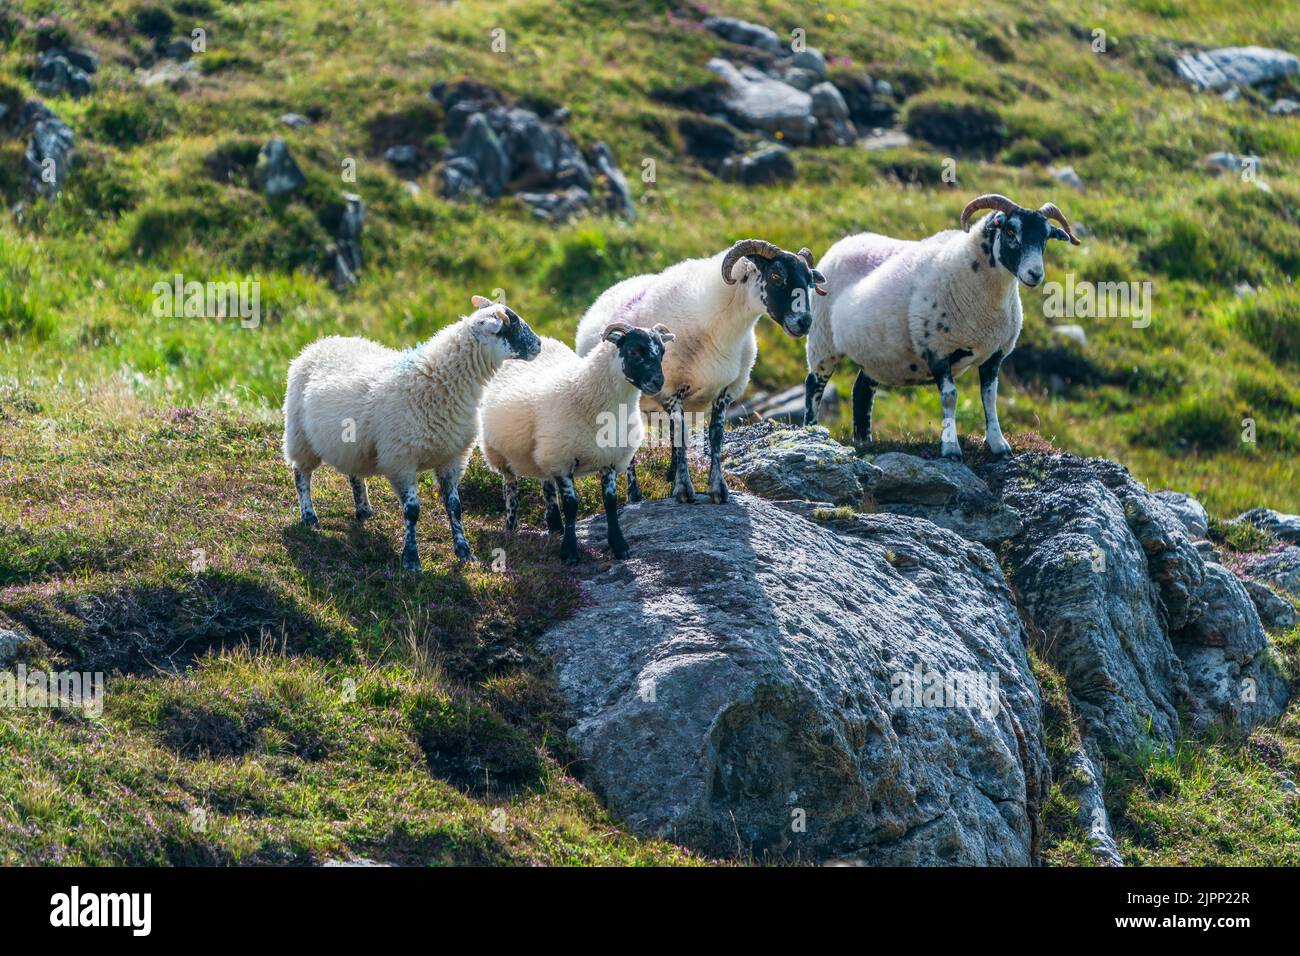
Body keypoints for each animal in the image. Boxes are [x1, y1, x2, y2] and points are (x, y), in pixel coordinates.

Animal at [282, 295, 542, 571]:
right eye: (512, 325)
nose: (539, 344)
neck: (438, 380)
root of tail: (321, 342)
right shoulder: (401, 460)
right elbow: (412, 510)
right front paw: (411, 559)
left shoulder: (452, 457)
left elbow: (455, 507)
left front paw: (464, 552)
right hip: (299, 434)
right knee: (300, 474)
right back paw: (309, 516)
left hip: (351, 442)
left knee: (353, 473)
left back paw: (363, 509)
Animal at [480, 322, 674, 563]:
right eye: (633, 352)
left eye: (662, 352)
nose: (658, 382)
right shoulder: (562, 460)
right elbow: (572, 505)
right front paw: (570, 552)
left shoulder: (607, 458)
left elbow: (610, 502)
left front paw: (619, 545)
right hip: (500, 453)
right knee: (511, 489)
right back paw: (511, 528)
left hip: (543, 452)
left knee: (546, 485)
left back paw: (555, 526)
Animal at [575, 239, 825, 504]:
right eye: (776, 275)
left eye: (809, 280)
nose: (805, 322)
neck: (724, 327)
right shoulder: (672, 389)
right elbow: (683, 438)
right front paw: (684, 490)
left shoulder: (724, 391)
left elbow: (714, 438)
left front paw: (717, 489)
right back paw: (635, 495)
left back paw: (670, 475)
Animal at [804, 194, 1081, 460]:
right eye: (1011, 232)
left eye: (1046, 236)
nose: (1035, 274)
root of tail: (843, 243)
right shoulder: (937, 350)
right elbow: (950, 397)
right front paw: (950, 449)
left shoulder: (994, 354)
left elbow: (989, 398)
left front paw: (998, 444)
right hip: (822, 338)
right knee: (813, 385)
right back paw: (812, 433)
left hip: (876, 355)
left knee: (862, 390)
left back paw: (864, 442)